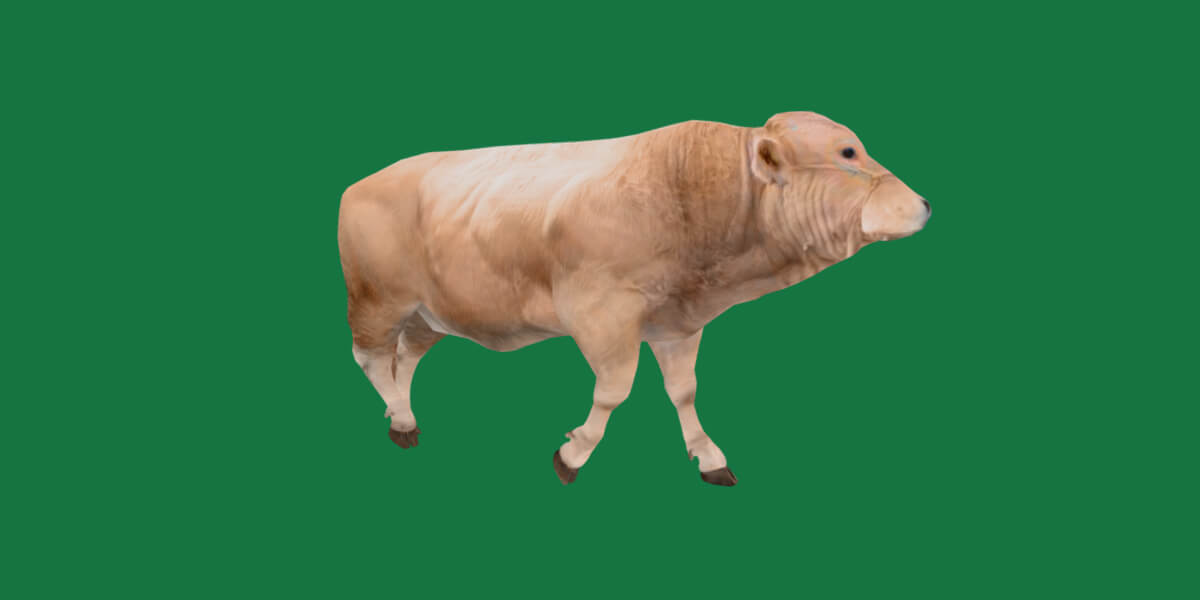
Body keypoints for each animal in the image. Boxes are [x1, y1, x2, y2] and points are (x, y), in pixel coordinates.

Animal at [337, 111, 930, 486]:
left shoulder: (678, 322)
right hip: (378, 298)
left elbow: (684, 390)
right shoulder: (602, 315)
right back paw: (400, 416)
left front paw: (707, 455)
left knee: (405, 357)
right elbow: (614, 390)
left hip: (429, 314)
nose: (924, 204)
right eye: (847, 152)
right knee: (370, 357)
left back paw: (401, 416)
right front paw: (573, 452)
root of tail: (361, 183)